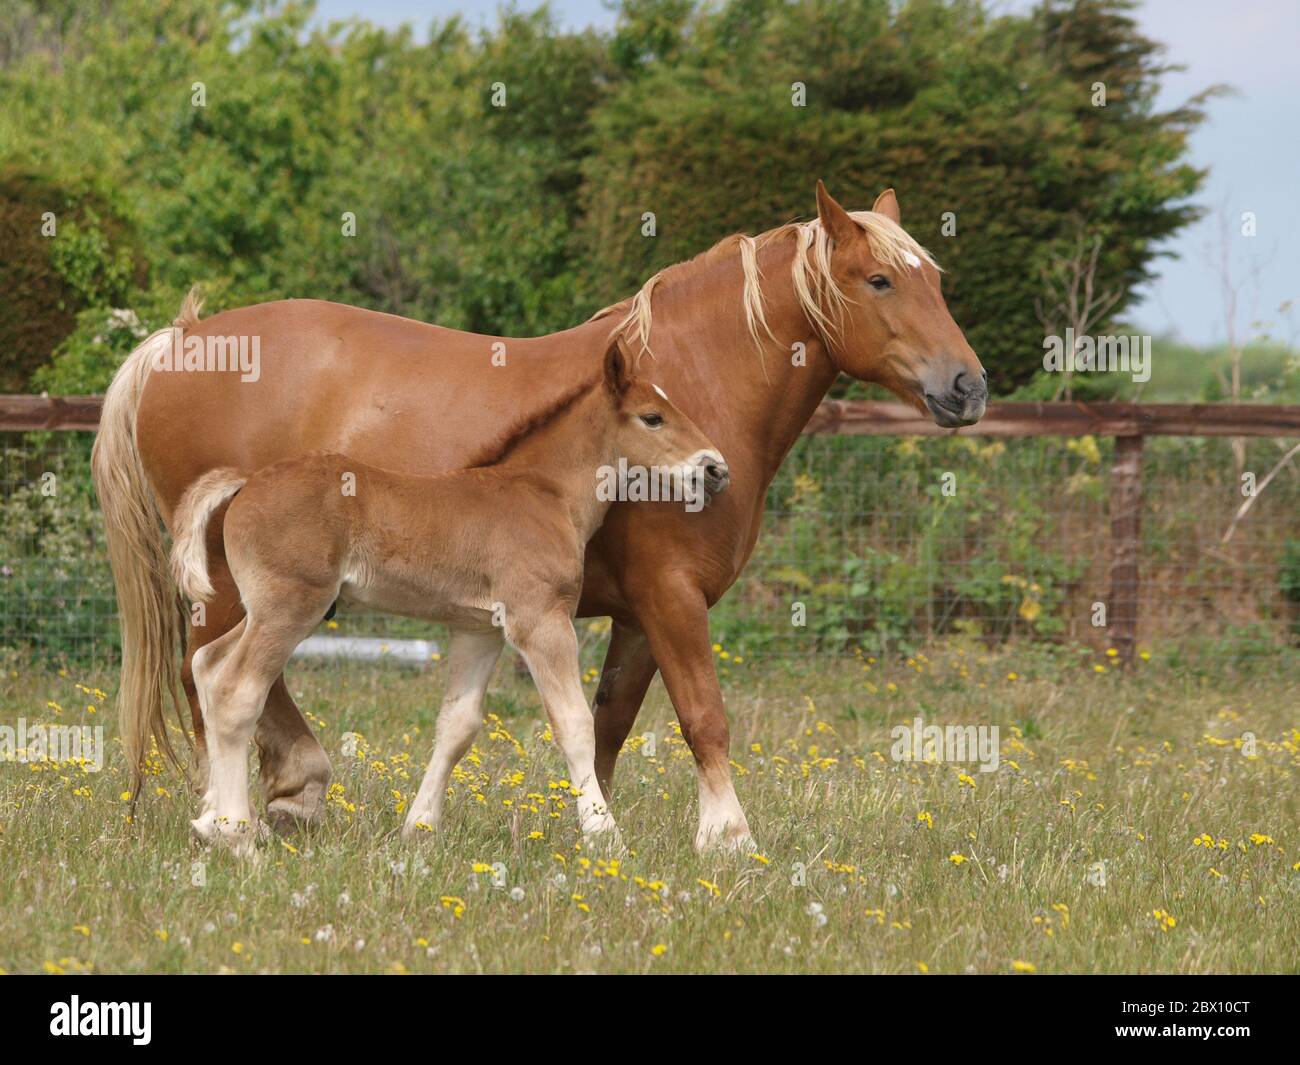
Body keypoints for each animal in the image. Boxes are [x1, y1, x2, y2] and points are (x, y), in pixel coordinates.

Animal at [167, 340, 726, 856]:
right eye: (652, 417)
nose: (715, 469)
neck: (545, 495)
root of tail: (246, 482)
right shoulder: (540, 618)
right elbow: (573, 723)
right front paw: (605, 836)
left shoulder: (478, 628)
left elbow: (457, 726)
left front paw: (419, 829)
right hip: (290, 605)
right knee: (237, 689)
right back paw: (234, 835)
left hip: (262, 608)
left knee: (207, 664)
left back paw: (210, 818)